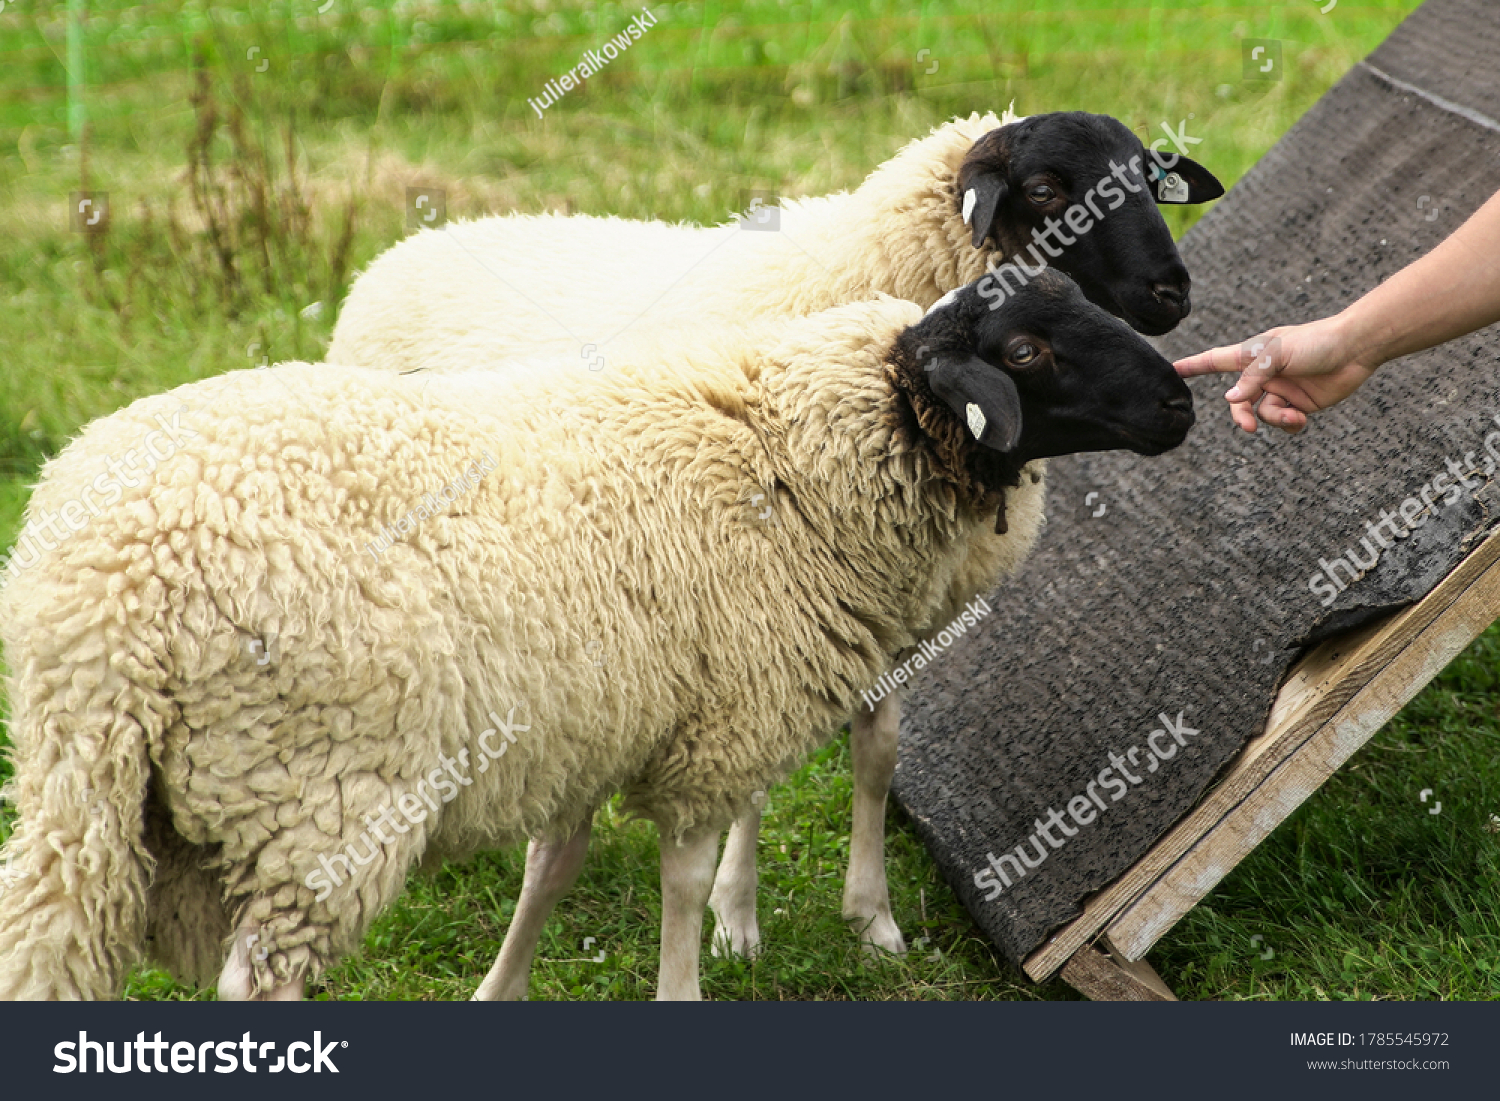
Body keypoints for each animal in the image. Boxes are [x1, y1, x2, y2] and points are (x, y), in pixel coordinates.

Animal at [0, 268, 1193, 1002]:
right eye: (1029, 348)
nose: (1181, 405)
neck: (797, 453)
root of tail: (99, 600)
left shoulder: (599, 713)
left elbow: (554, 866)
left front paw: (502, 987)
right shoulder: (719, 724)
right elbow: (684, 878)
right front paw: (688, 982)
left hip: (95, 801)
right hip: (315, 800)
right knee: (262, 978)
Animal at [326, 110, 1224, 960]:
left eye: (1151, 178)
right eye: (1044, 189)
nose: (1173, 292)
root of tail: (406, 249)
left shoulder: (883, 608)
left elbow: (878, 752)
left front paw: (872, 917)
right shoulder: (758, 600)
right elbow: (752, 789)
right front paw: (735, 917)